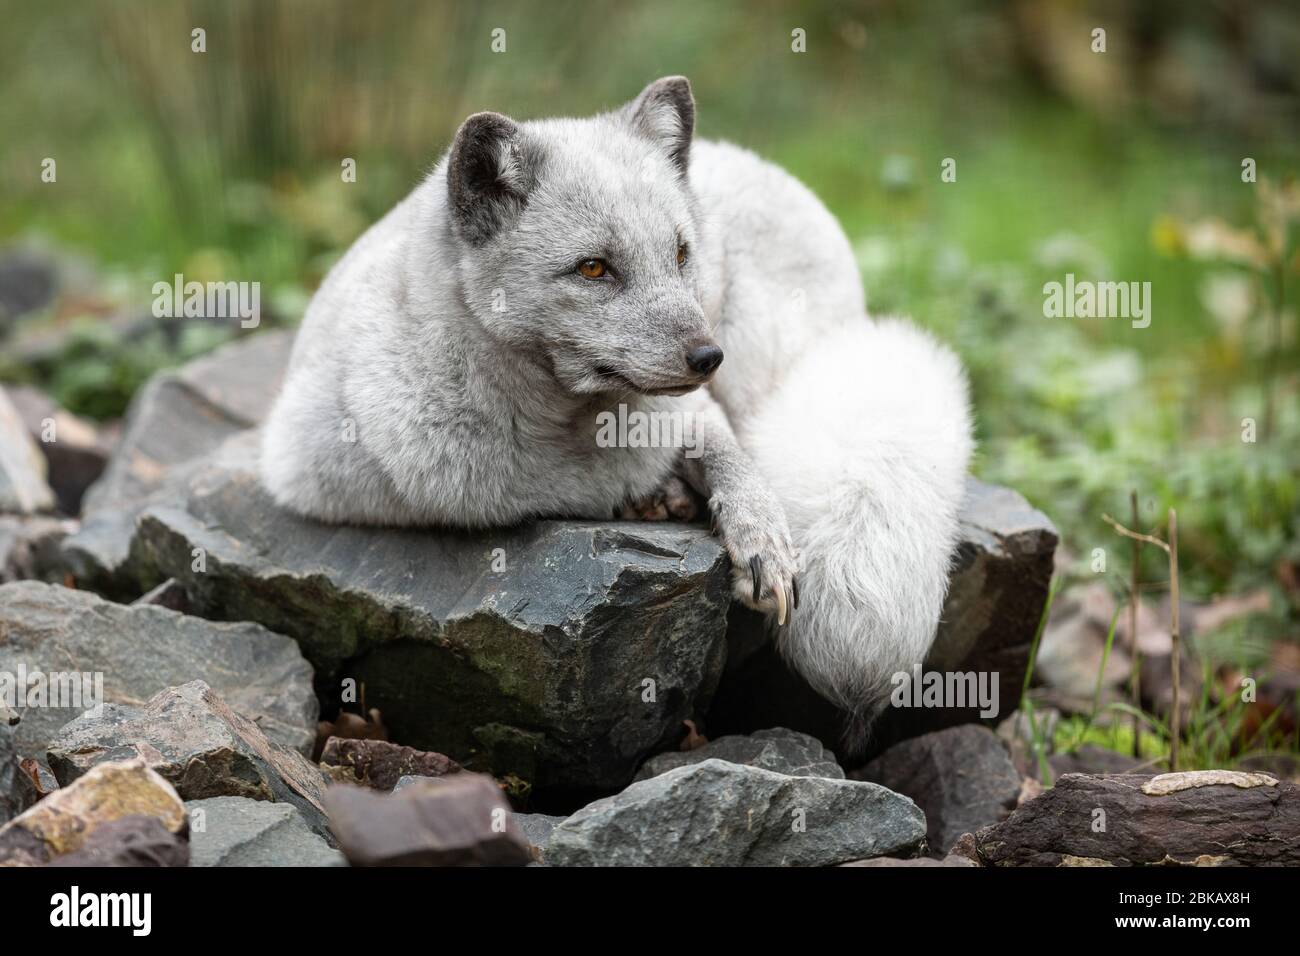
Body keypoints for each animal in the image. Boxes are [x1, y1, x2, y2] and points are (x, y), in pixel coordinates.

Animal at [260, 76, 973, 749]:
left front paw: (758, 542)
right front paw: (654, 494)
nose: (707, 355)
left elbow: (731, 459)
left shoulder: (697, 409)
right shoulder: (324, 471)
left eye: (681, 254)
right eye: (594, 268)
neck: (558, 427)